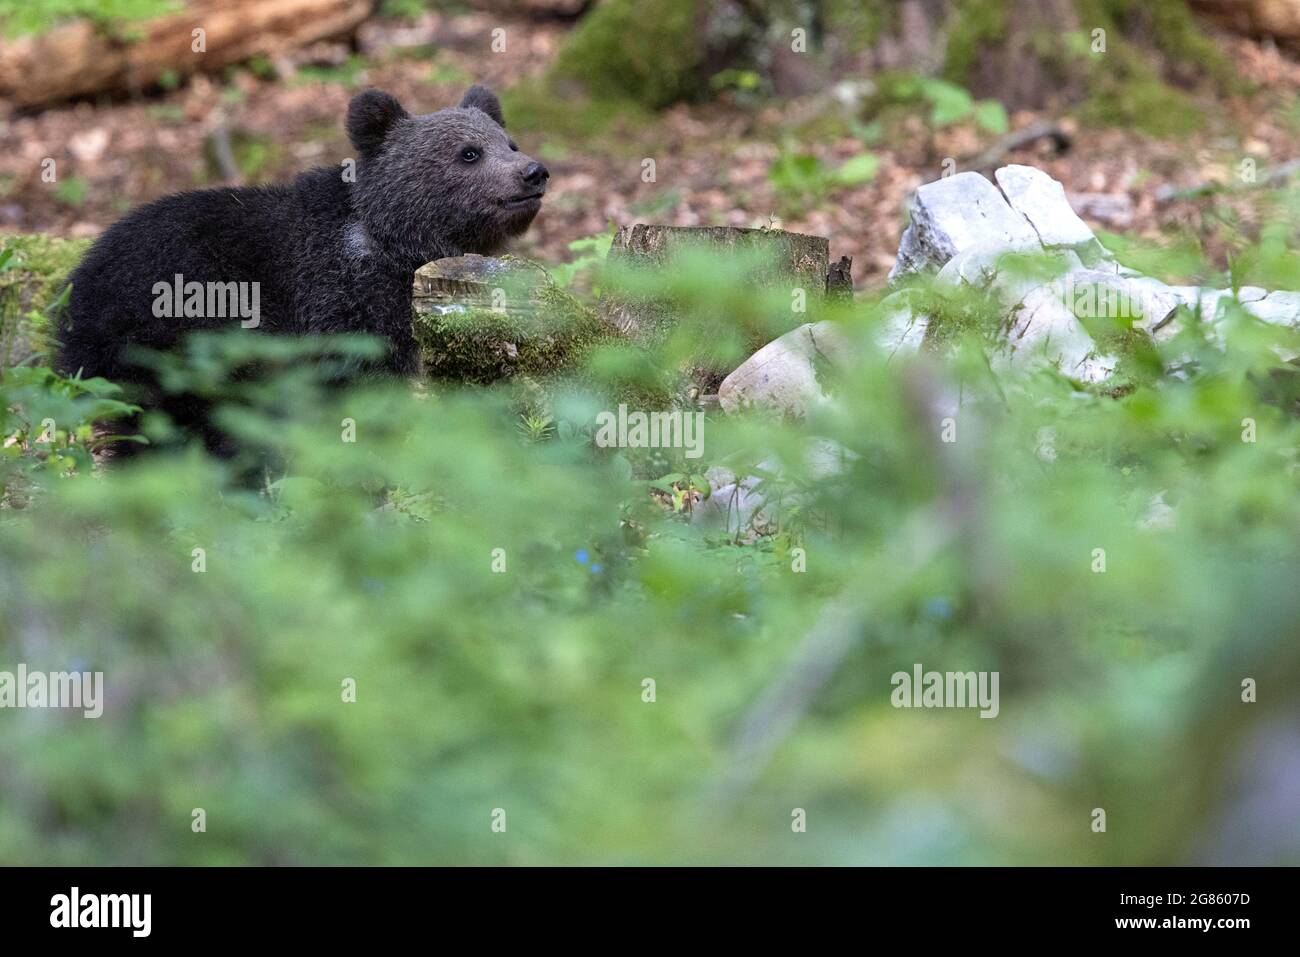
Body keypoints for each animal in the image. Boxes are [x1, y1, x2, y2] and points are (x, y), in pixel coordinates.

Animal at [55, 85, 548, 456]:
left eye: (509, 142)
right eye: (469, 153)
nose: (534, 171)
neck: (393, 243)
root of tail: (78, 294)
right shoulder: (339, 301)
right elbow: (358, 382)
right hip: (186, 332)